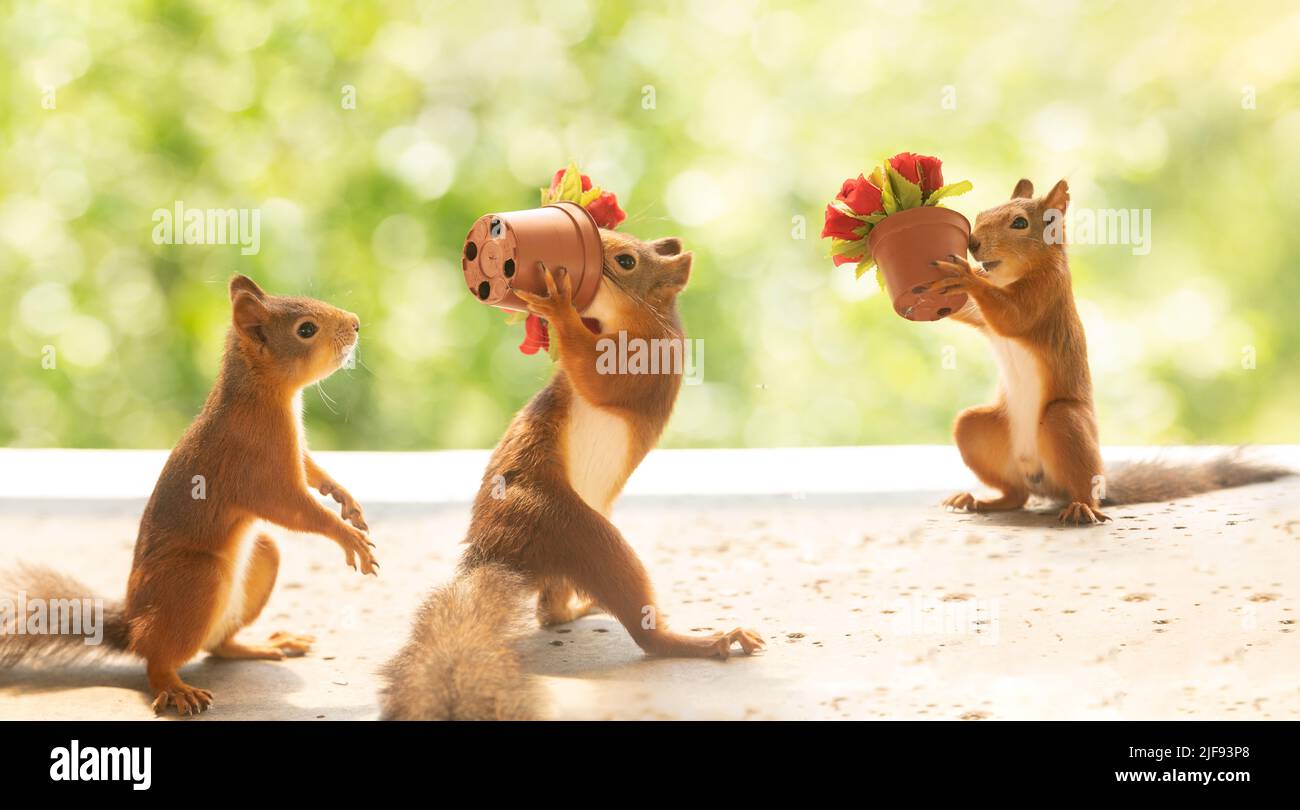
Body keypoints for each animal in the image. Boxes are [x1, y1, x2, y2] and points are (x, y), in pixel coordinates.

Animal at [0, 275, 376, 714]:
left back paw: (262, 644)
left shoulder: (294, 453)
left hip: (261, 557)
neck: (261, 392)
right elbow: (293, 509)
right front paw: (347, 537)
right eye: (306, 330)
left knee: (218, 645)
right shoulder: (256, 468)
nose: (356, 324)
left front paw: (344, 498)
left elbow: (313, 469)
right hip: (198, 579)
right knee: (156, 659)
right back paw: (175, 687)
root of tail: (132, 626)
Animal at [380, 230, 763, 720]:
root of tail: (497, 554)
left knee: (621, 629)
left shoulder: (644, 363)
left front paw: (558, 307)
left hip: (579, 533)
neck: (641, 318)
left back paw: (693, 638)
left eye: (626, 260)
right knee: (554, 613)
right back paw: (592, 608)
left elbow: (599, 378)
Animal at [920, 178, 1286, 524]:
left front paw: (966, 275)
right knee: (1017, 494)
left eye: (1019, 223)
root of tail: (1045, 482)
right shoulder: (987, 310)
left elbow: (1012, 316)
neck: (1012, 275)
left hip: (1065, 422)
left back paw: (1082, 508)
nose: (972, 243)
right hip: (979, 430)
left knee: (1079, 483)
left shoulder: (1046, 296)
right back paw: (980, 500)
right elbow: (971, 312)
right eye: (981, 214)